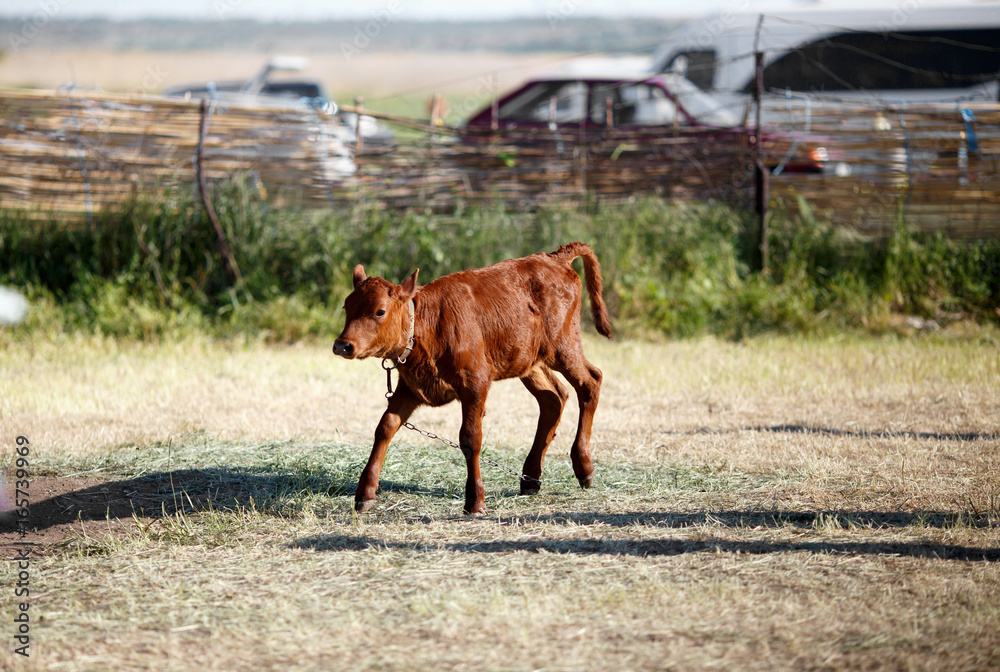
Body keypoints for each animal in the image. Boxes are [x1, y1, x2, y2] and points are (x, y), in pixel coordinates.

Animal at [333, 242, 612, 514]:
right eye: (347, 307)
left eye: (380, 311)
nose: (342, 345)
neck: (430, 326)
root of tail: (554, 257)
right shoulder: (410, 388)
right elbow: (385, 427)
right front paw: (365, 493)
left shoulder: (475, 384)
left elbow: (470, 438)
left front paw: (475, 501)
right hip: (530, 362)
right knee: (553, 398)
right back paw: (531, 478)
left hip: (564, 348)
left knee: (591, 382)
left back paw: (584, 467)